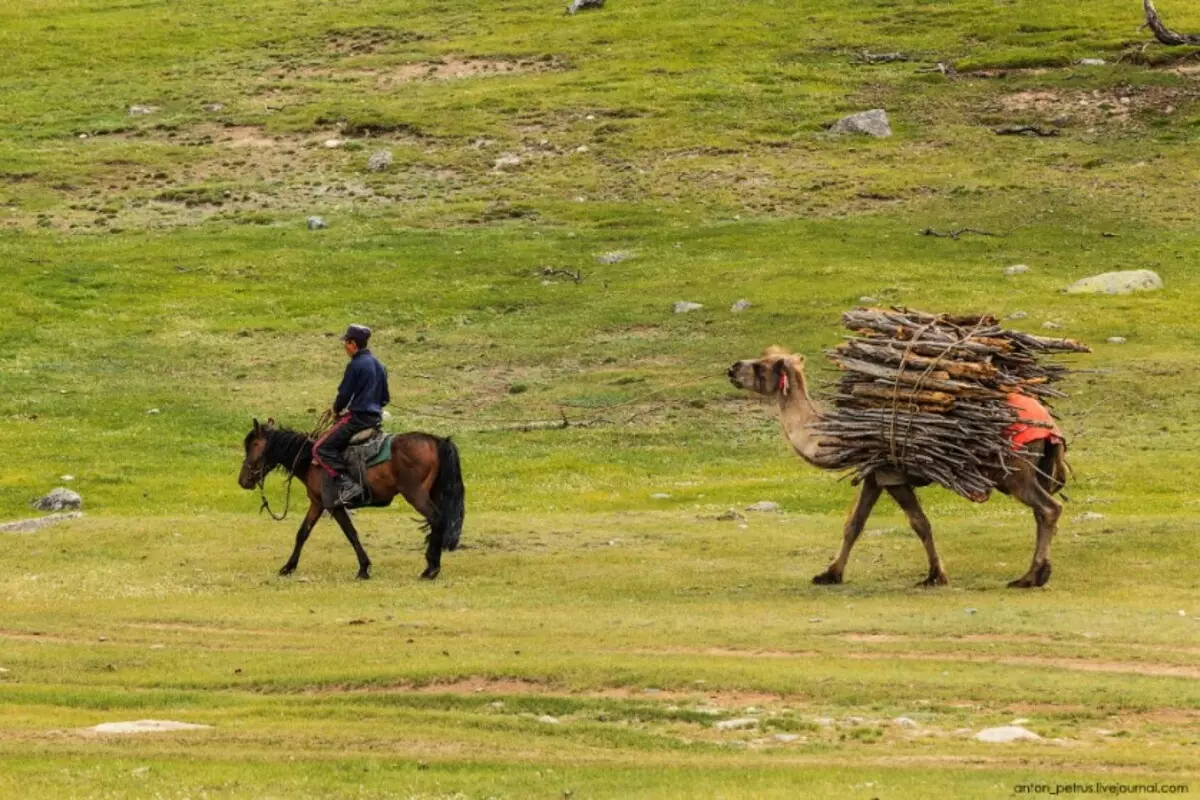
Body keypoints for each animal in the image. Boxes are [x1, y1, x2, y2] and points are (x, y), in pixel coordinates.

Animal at [235, 419, 463, 582]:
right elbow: (302, 533)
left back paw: (430, 569)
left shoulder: (333, 505)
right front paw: (288, 567)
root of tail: (436, 441)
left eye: (253, 445)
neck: (311, 461)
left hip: (415, 494)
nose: (243, 480)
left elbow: (351, 533)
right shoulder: (317, 503)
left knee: (437, 519)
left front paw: (363, 568)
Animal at [724, 347, 1075, 587]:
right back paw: (1037, 573)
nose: (732, 367)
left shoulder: (891, 474)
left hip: (1014, 469)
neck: (835, 437)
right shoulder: (874, 475)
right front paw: (829, 573)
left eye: (761, 365)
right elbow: (854, 525)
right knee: (1042, 510)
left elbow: (920, 523)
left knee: (1049, 508)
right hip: (1036, 466)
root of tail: (1049, 423)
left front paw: (936, 576)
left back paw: (1030, 577)